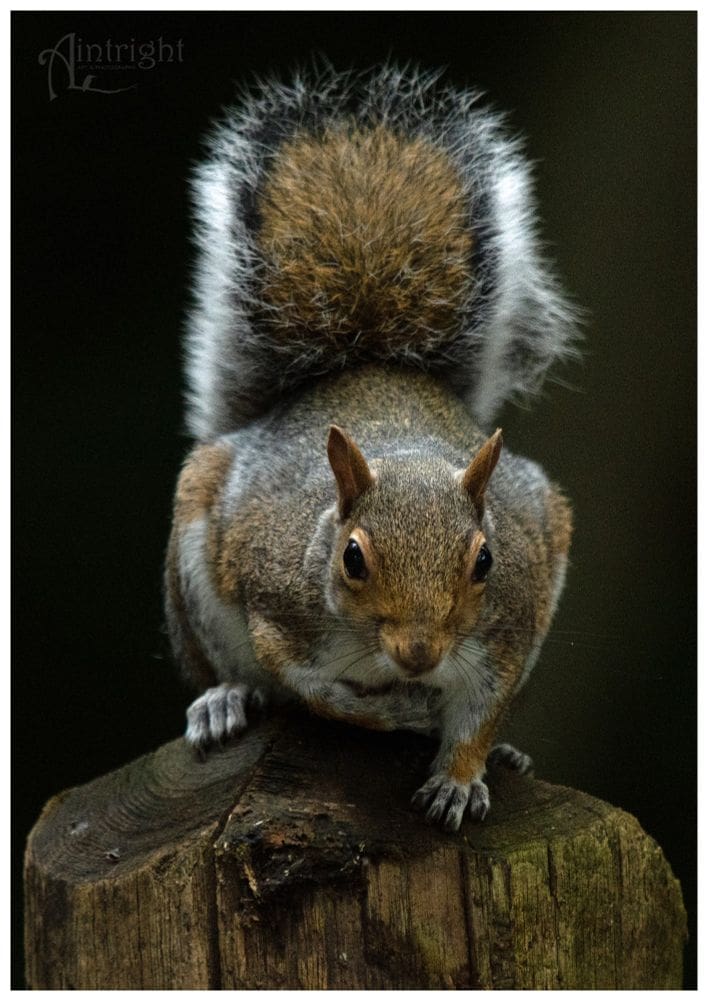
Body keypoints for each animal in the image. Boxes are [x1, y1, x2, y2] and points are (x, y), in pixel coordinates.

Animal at [164, 66, 577, 832]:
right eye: (351, 558)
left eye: (485, 562)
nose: (419, 654)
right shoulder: (281, 615)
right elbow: (316, 695)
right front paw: (382, 715)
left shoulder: (507, 630)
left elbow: (480, 713)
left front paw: (460, 777)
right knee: (222, 670)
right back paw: (223, 700)